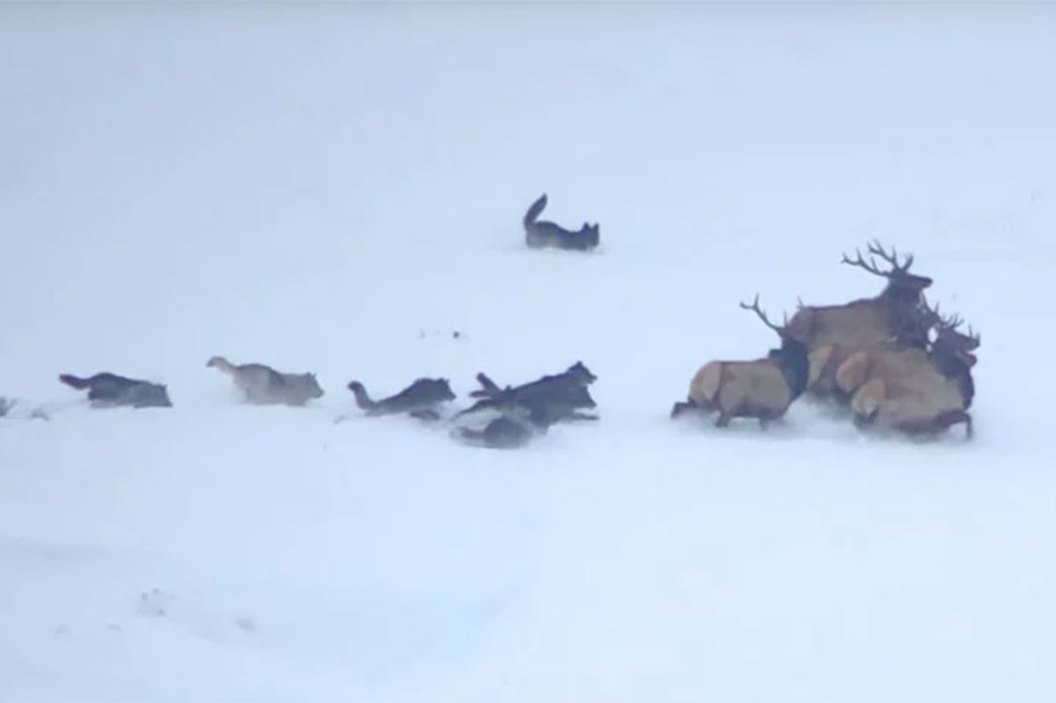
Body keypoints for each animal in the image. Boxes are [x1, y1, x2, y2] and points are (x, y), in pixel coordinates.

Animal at [670, 295, 810, 429]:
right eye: (801, 347)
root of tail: (702, 377)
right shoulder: (768, 411)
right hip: (729, 404)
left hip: (699, 401)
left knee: (677, 405)